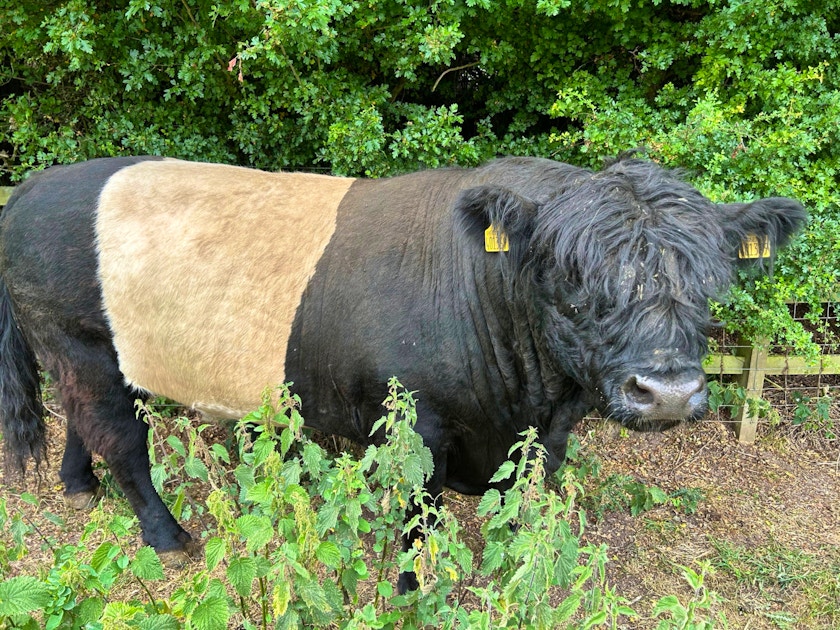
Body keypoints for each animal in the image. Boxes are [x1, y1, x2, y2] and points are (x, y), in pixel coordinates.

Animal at [0, 155, 805, 591]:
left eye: (708, 281)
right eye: (573, 277)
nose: (666, 391)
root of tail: (33, 188)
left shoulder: (545, 432)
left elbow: (528, 503)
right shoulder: (416, 423)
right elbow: (421, 516)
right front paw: (415, 587)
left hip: (78, 353)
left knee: (84, 424)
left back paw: (77, 485)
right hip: (81, 345)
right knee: (122, 441)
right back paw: (167, 536)